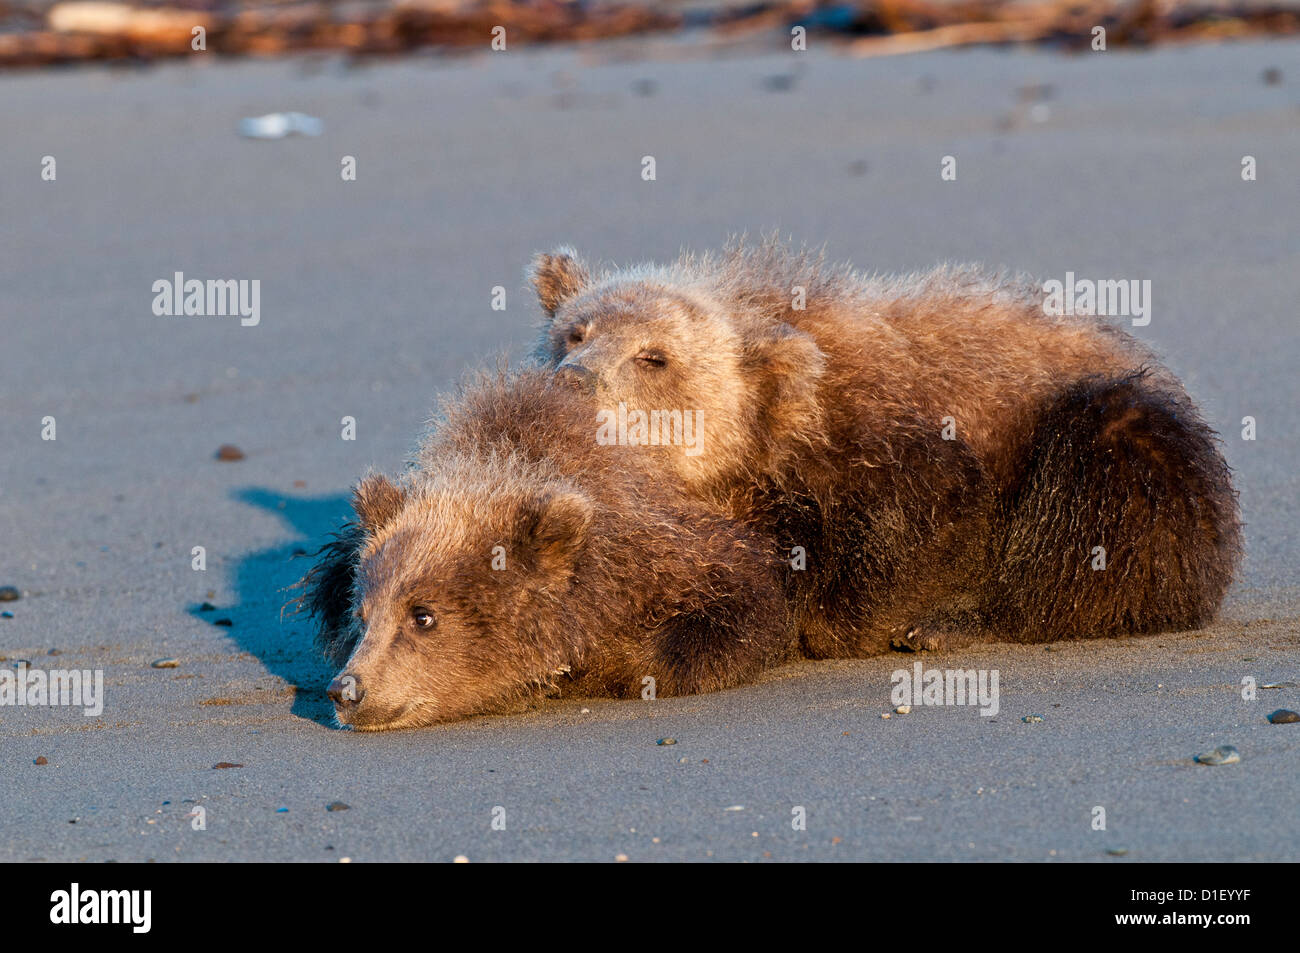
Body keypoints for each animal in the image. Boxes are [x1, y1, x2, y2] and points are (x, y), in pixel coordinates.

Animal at [529, 237, 1242, 652]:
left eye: (654, 356)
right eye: (574, 332)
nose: (574, 380)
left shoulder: (899, 434)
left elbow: (927, 519)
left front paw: (848, 622)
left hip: (1138, 445)